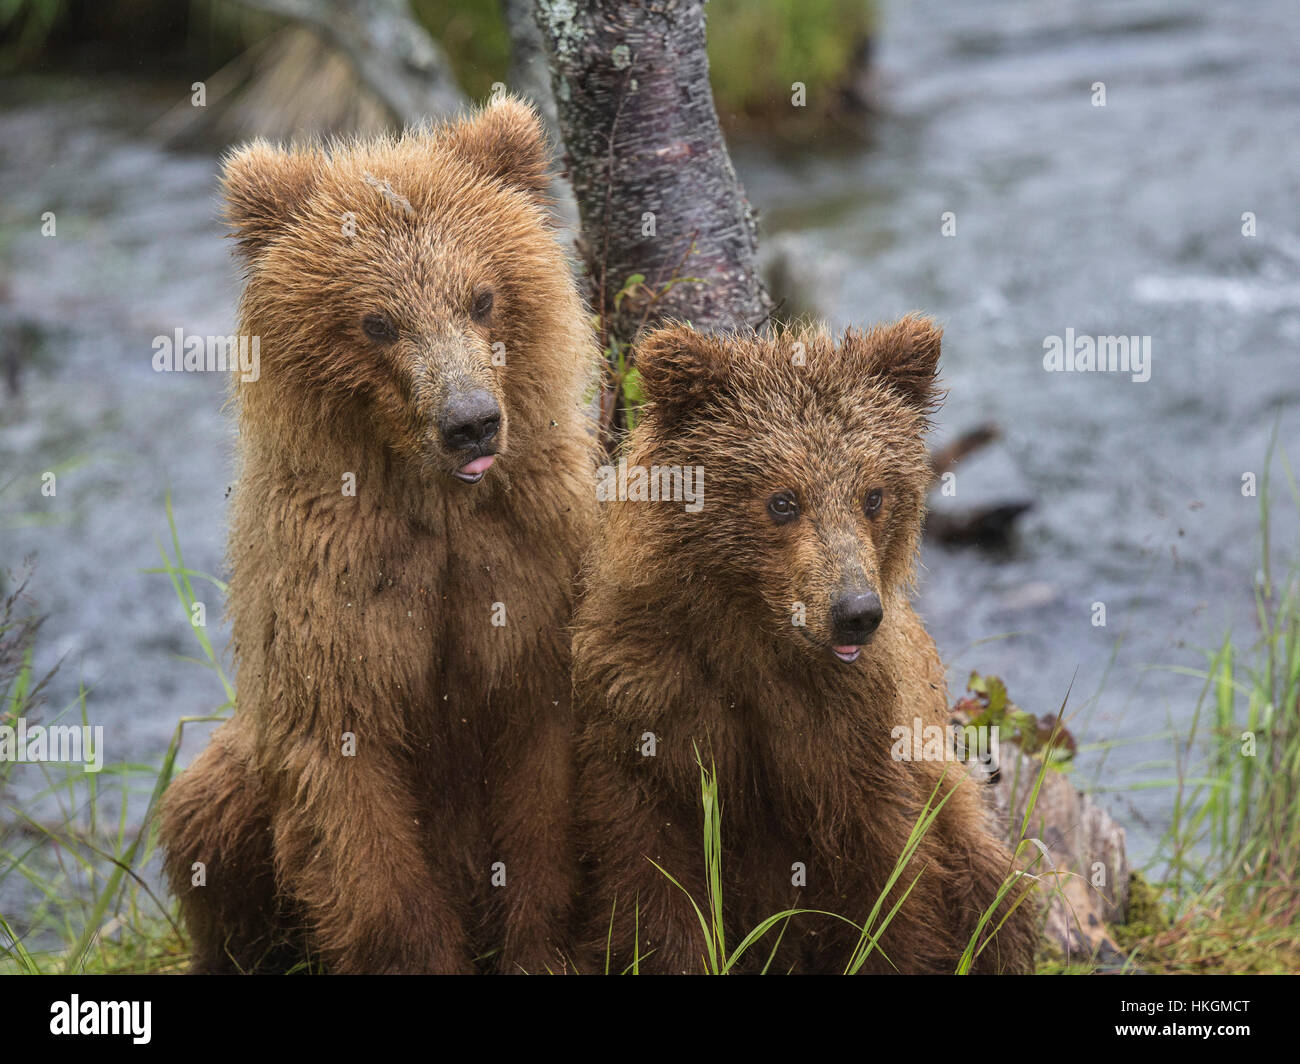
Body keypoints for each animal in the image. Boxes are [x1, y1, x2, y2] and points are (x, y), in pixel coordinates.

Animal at [158, 98, 598, 974]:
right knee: (201, 816)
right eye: (378, 321)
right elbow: (343, 781)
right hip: (234, 774)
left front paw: (540, 943)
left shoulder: (528, 567)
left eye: (482, 296)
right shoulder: (338, 583)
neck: (438, 502)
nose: (470, 421)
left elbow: (542, 776)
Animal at [572, 316, 1039, 974]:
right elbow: (650, 875)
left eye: (874, 495)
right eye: (782, 500)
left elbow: (894, 884)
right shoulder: (648, 702)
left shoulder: (855, 739)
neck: (755, 640)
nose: (856, 613)